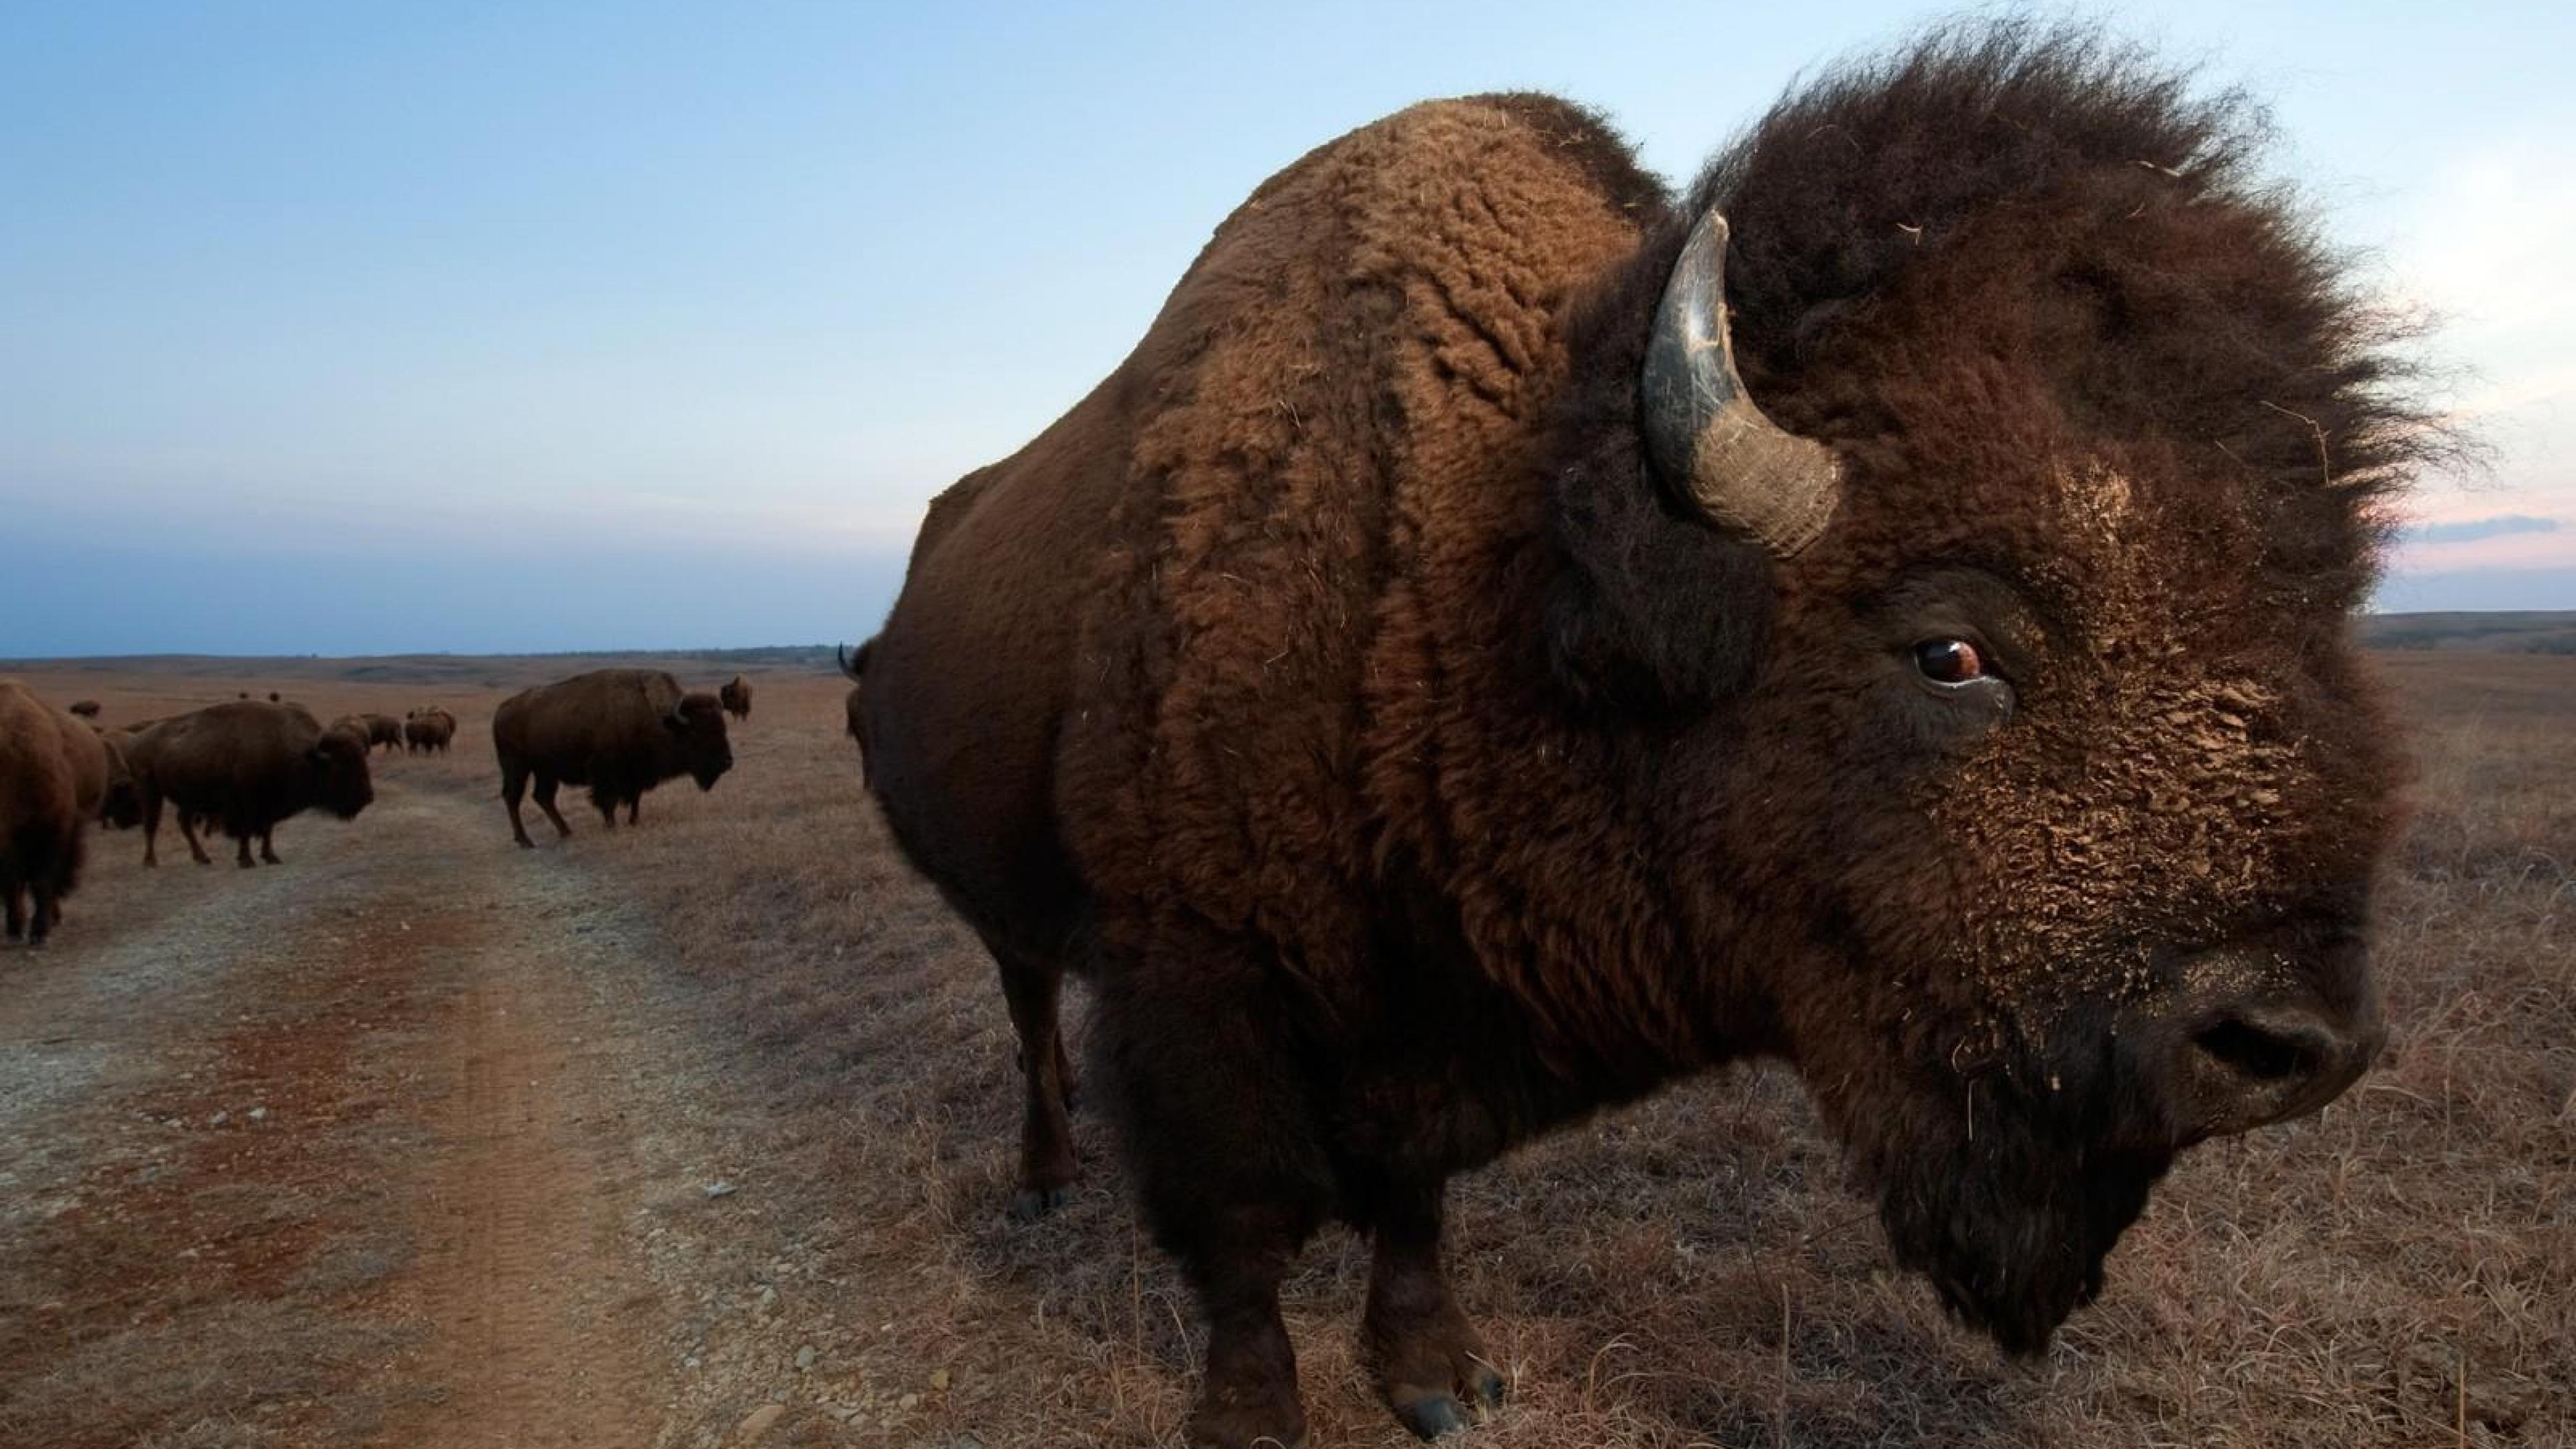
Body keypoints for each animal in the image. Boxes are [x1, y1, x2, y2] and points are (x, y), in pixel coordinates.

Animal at [129, 701, 374, 867]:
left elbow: (267, 831)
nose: (368, 797)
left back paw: (203, 858)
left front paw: (271, 857)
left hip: (188, 800)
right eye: (341, 766)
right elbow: (247, 832)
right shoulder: (245, 806)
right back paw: (151, 862)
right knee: (150, 826)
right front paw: (247, 860)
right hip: (149, 790)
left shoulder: (269, 805)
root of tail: (139, 738)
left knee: (184, 824)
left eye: (362, 760)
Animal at [491, 668, 732, 847]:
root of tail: (502, 709)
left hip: (545, 771)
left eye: (723, 728)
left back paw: (567, 832)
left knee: (543, 797)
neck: (661, 720)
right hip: (517, 766)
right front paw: (612, 826)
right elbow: (608, 801)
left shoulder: (636, 774)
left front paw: (634, 822)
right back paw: (526, 841)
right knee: (513, 797)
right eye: (697, 733)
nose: (727, 762)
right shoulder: (606, 773)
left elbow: (635, 799)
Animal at [855, 29, 2442, 1448]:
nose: (2294, 1046)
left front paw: (1441, 1381)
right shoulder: (1196, 987)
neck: (1474, 568)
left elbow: (1410, 1194)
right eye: (1951, 651)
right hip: (1003, 908)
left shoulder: (1420, 1018)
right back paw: (1046, 1174)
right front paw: (1251, 1422)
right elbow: (1241, 1228)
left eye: (2317, 614)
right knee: (1026, 1013)